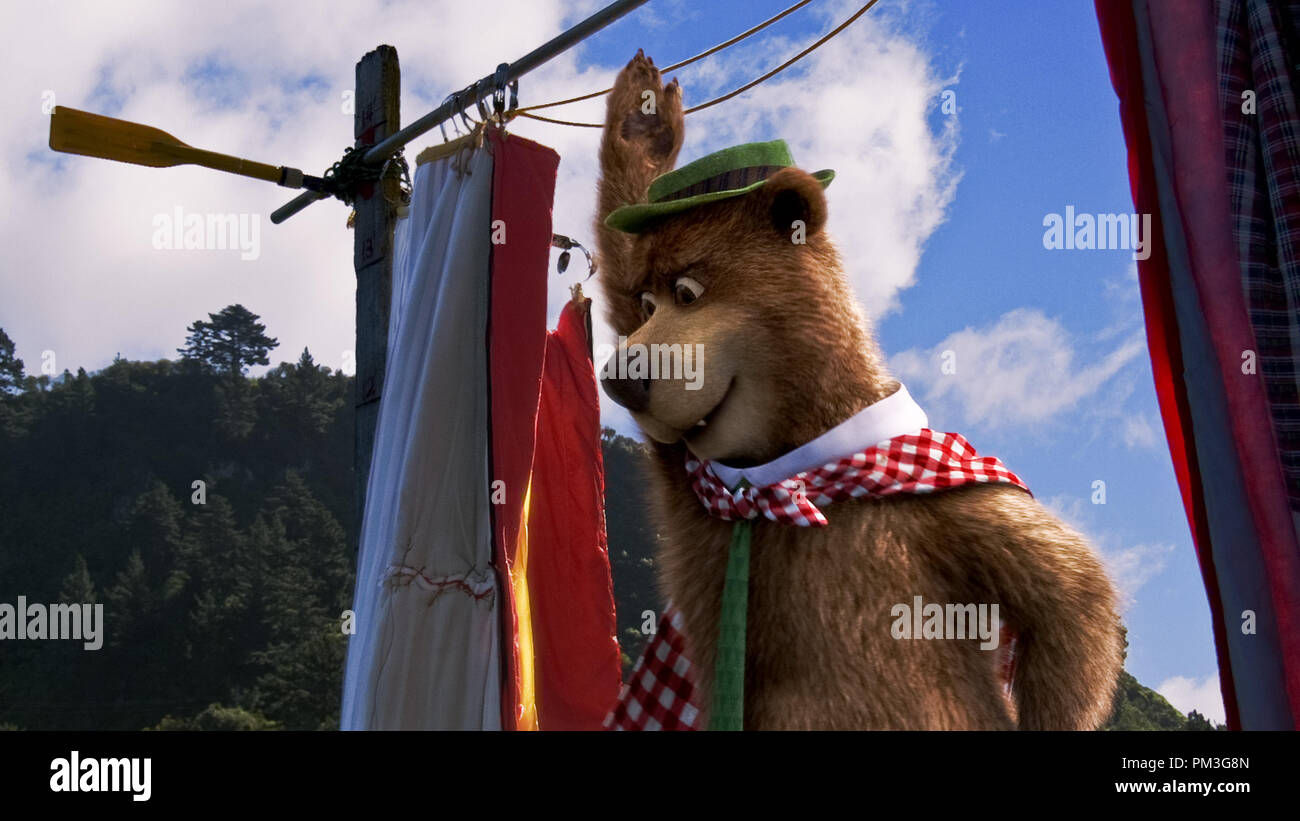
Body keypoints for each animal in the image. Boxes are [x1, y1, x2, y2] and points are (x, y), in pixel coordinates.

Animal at [594, 51, 1123, 730]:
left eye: (688, 291)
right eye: (647, 302)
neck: (779, 474)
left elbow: (1074, 592)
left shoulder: (931, 500)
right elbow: (618, 254)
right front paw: (642, 122)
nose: (621, 378)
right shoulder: (687, 475)